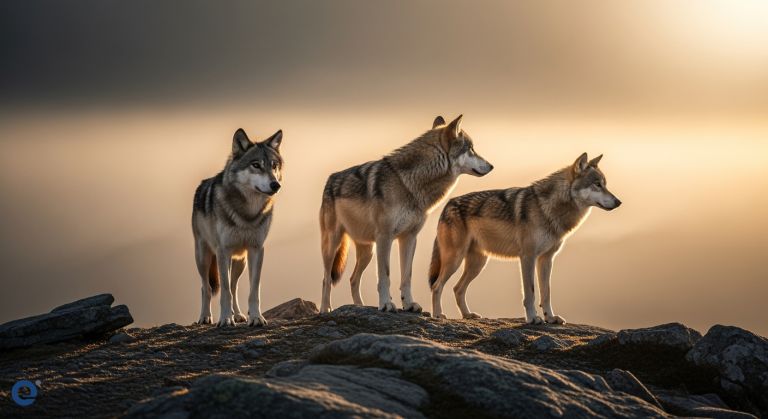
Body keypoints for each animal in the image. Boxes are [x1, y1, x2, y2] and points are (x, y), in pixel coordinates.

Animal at [192, 128, 283, 327]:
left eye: (274, 166)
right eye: (256, 165)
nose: (276, 184)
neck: (247, 213)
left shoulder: (256, 249)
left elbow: (253, 289)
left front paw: (255, 317)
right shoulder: (223, 250)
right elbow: (224, 290)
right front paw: (225, 319)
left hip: (240, 260)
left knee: (234, 286)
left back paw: (239, 314)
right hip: (203, 257)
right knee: (206, 287)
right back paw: (205, 317)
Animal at [319, 115, 493, 313]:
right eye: (471, 149)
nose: (491, 165)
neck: (407, 184)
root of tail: (330, 179)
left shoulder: (409, 237)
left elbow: (406, 276)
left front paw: (409, 304)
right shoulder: (385, 237)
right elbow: (385, 275)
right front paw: (386, 304)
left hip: (368, 250)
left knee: (353, 279)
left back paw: (359, 306)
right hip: (333, 245)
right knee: (326, 279)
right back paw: (325, 309)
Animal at [428, 153, 621, 323]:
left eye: (604, 184)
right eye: (597, 184)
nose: (618, 202)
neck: (548, 209)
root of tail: (446, 205)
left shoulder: (546, 259)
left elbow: (546, 292)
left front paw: (550, 318)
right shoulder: (528, 257)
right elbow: (530, 292)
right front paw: (533, 318)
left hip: (478, 264)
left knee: (457, 289)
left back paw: (468, 315)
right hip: (455, 260)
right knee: (437, 286)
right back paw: (438, 315)